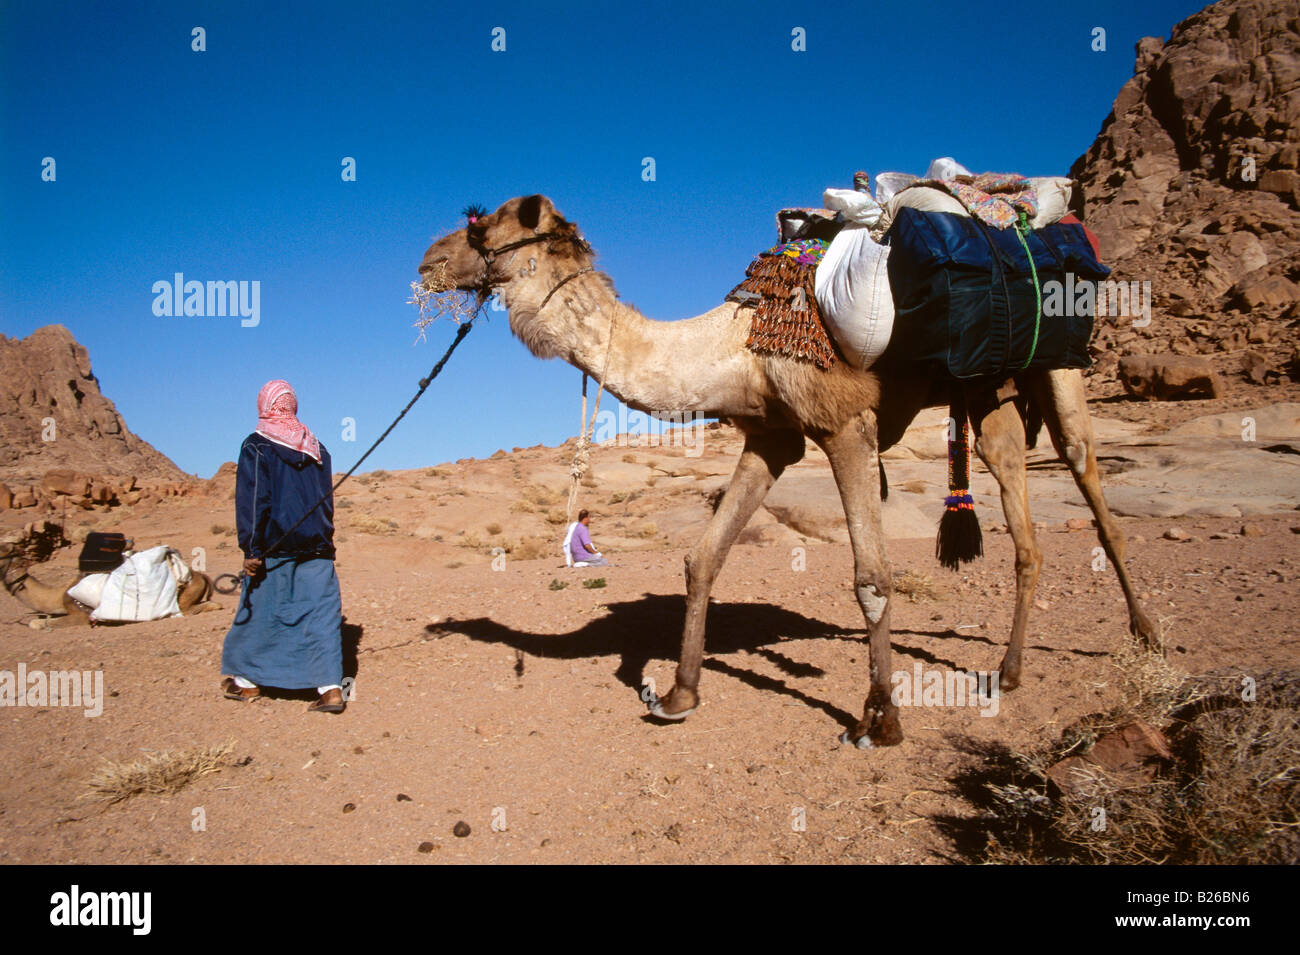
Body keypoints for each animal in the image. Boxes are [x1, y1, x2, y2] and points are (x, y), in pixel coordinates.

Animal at [417, 194, 1158, 747]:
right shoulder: (771, 437)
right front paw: (679, 693)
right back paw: (1008, 672)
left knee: (1088, 474)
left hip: (1059, 366)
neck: (736, 343)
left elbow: (871, 576)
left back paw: (1146, 635)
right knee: (1023, 528)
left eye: (486, 225)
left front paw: (880, 719)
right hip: (991, 392)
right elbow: (703, 557)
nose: (428, 259)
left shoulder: (844, 422)